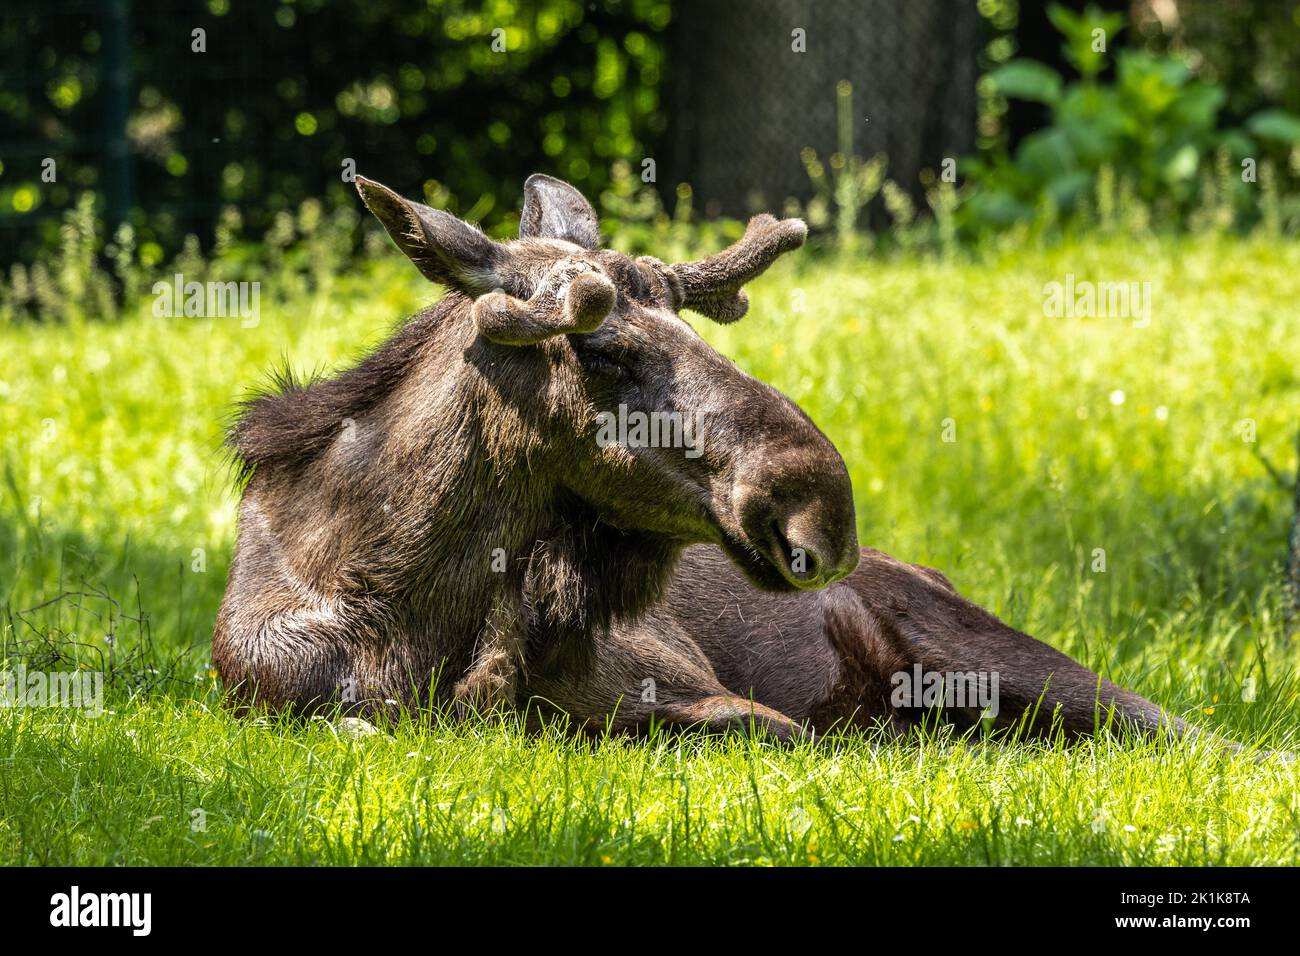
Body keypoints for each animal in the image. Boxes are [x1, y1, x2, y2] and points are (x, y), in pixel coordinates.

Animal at [213, 172, 1216, 750]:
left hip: (1012, 662)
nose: (820, 507)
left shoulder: (723, 706)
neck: (405, 616)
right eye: (602, 349)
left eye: (695, 331)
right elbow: (368, 730)